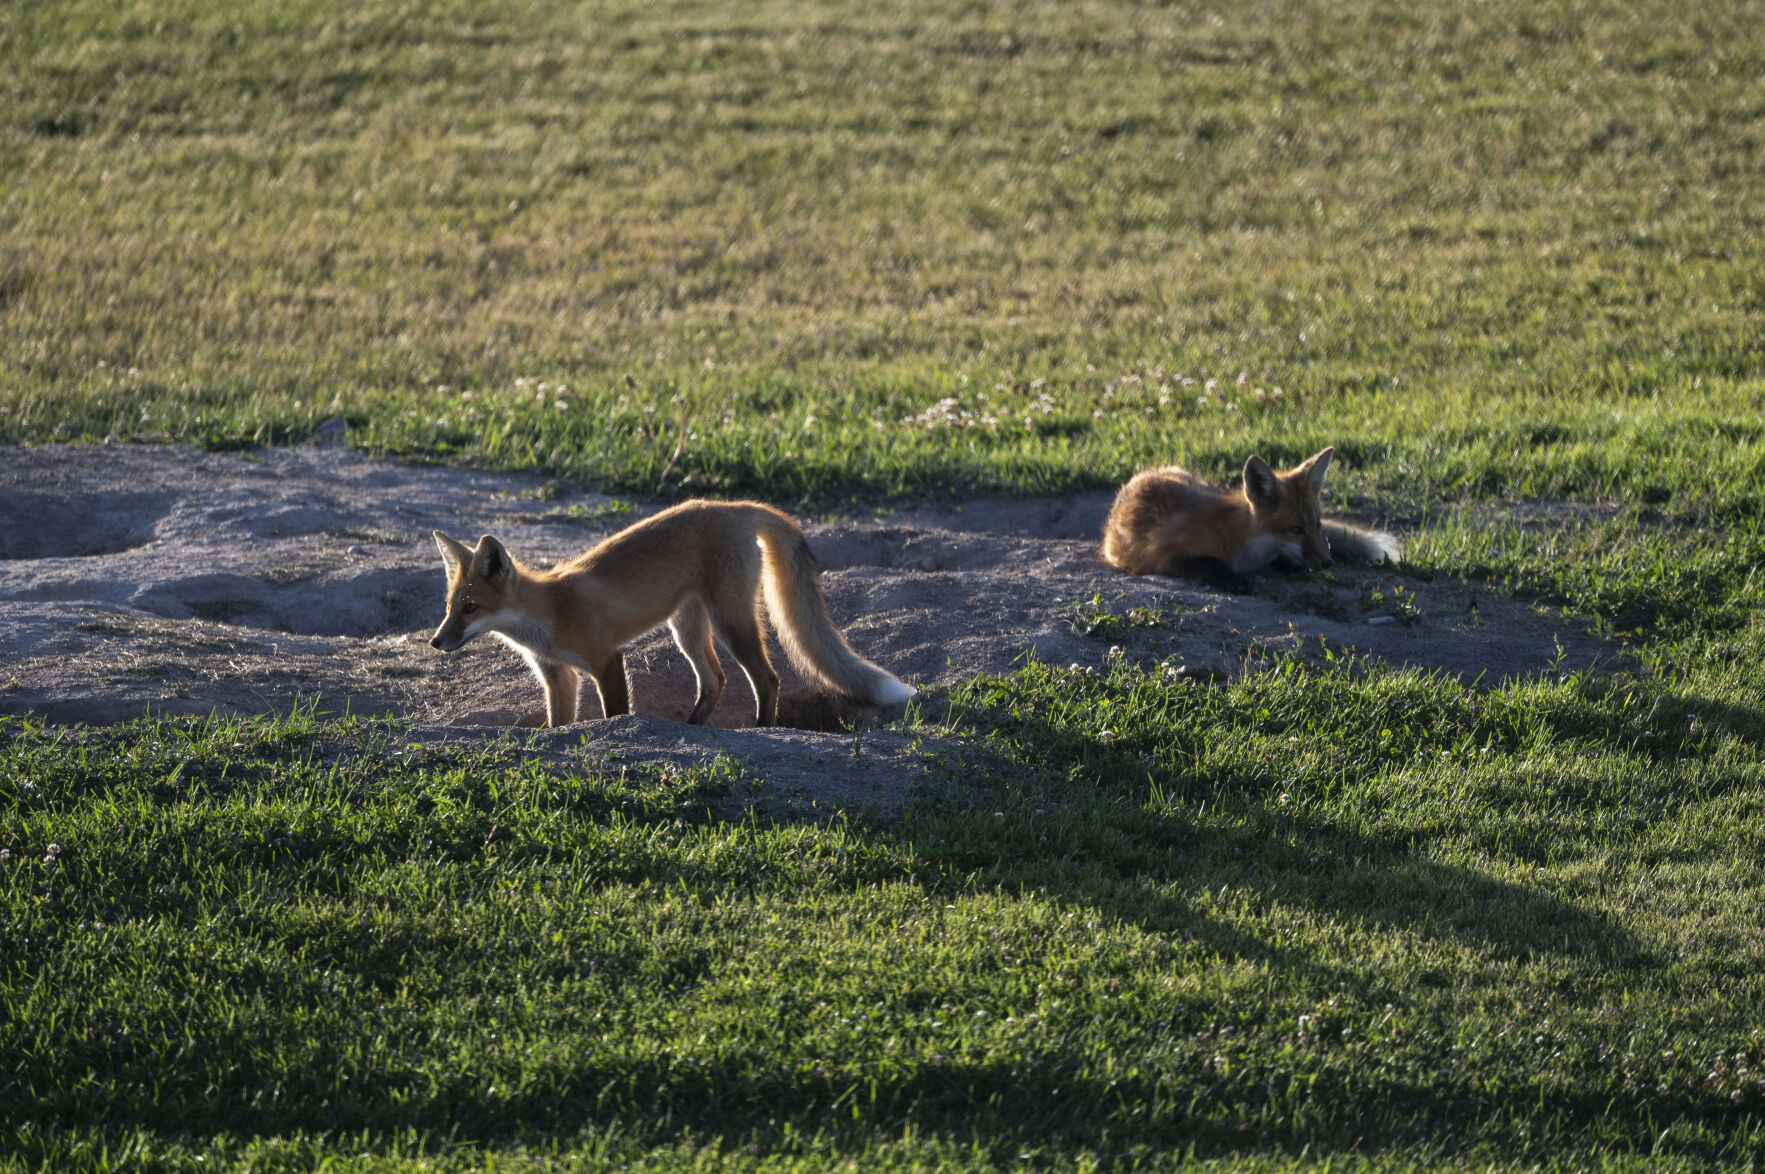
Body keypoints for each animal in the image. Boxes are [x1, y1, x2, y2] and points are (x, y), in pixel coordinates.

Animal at [429, 499, 914, 728]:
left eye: (471, 607)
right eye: (449, 607)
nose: (436, 642)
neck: (548, 613)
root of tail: (738, 506)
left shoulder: (607, 659)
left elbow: (615, 713)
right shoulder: (558, 676)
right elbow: (557, 724)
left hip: (730, 620)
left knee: (768, 678)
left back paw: (763, 728)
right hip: (686, 628)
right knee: (715, 680)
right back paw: (696, 727)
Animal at [1100, 447, 1400, 592]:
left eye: (1318, 525)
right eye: (1295, 529)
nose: (1328, 563)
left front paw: (1288, 563)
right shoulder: (1163, 555)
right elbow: (1208, 563)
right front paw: (1234, 580)